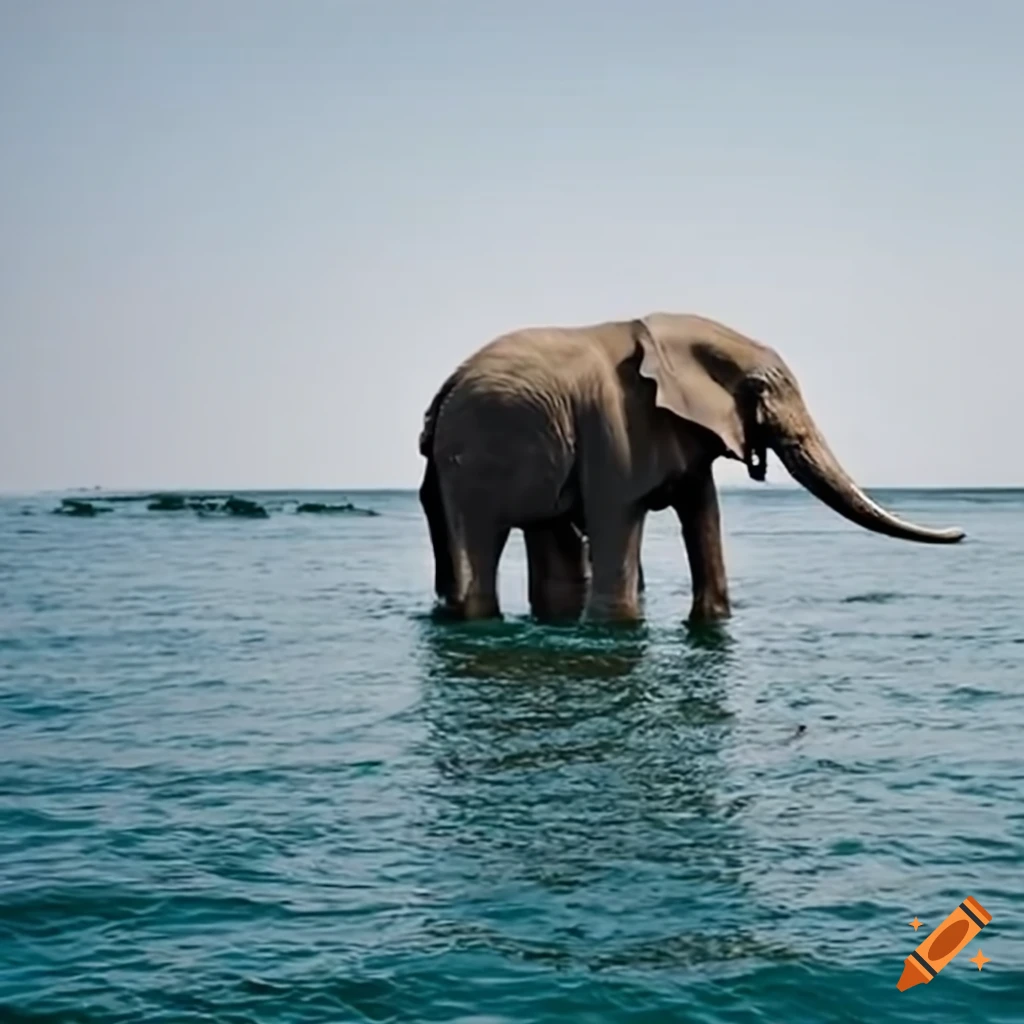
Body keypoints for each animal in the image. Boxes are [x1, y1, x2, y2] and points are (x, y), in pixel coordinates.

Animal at [418, 313, 964, 623]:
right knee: (480, 540)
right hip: (474, 456)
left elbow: (703, 514)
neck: (657, 336)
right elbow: (618, 514)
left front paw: (714, 622)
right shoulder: (618, 420)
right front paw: (617, 628)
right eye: (760, 389)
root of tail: (444, 390)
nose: (960, 534)